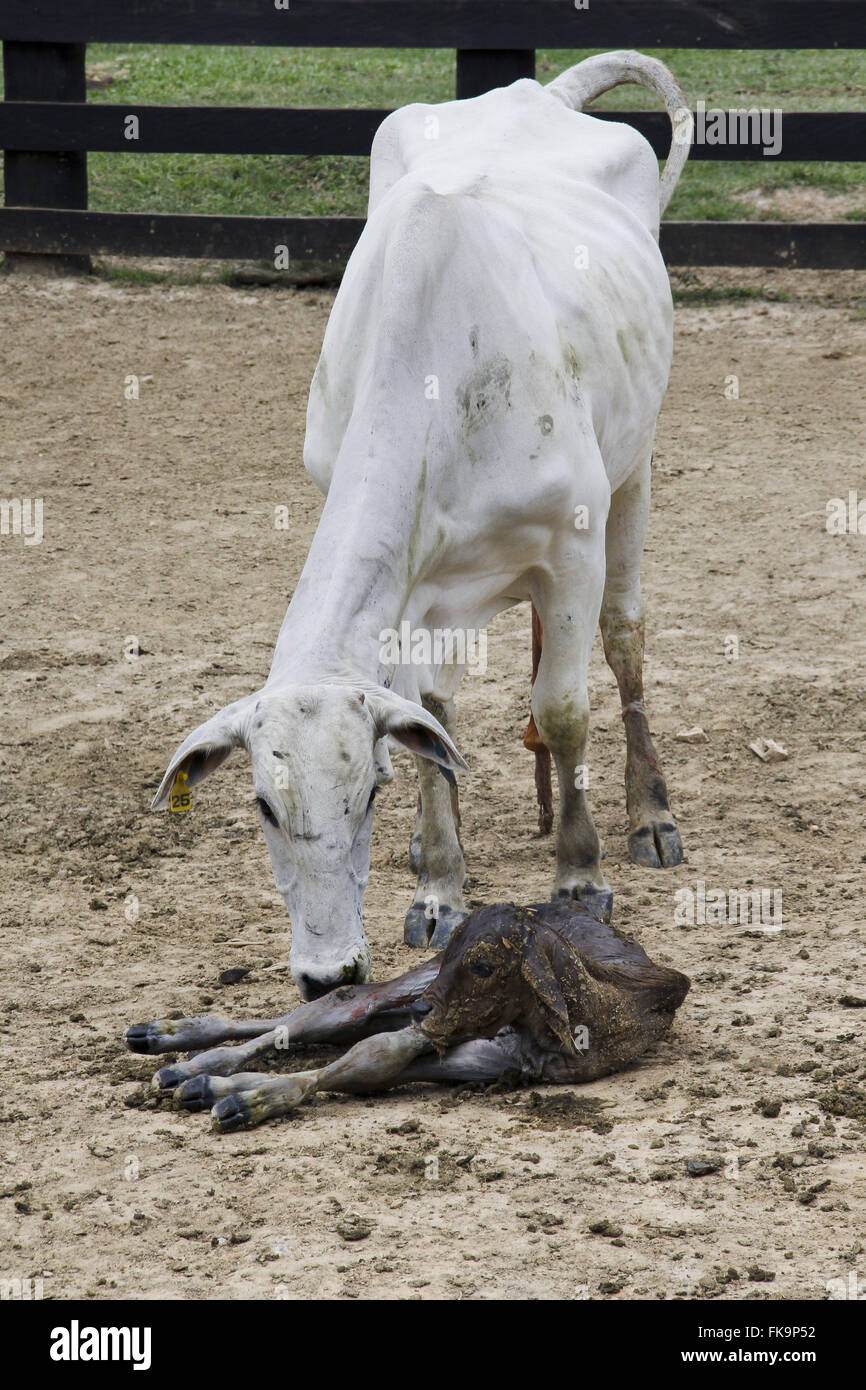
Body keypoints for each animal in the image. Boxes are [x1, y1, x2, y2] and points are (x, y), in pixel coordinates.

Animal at [151, 51, 693, 1001]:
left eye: (369, 789)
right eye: (262, 804)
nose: (328, 975)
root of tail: (539, 93)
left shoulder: (572, 548)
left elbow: (562, 708)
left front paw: (580, 875)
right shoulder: (415, 590)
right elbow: (430, 713)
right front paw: (439, 883)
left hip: (638, 468)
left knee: (625, 637)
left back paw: (650, 814)